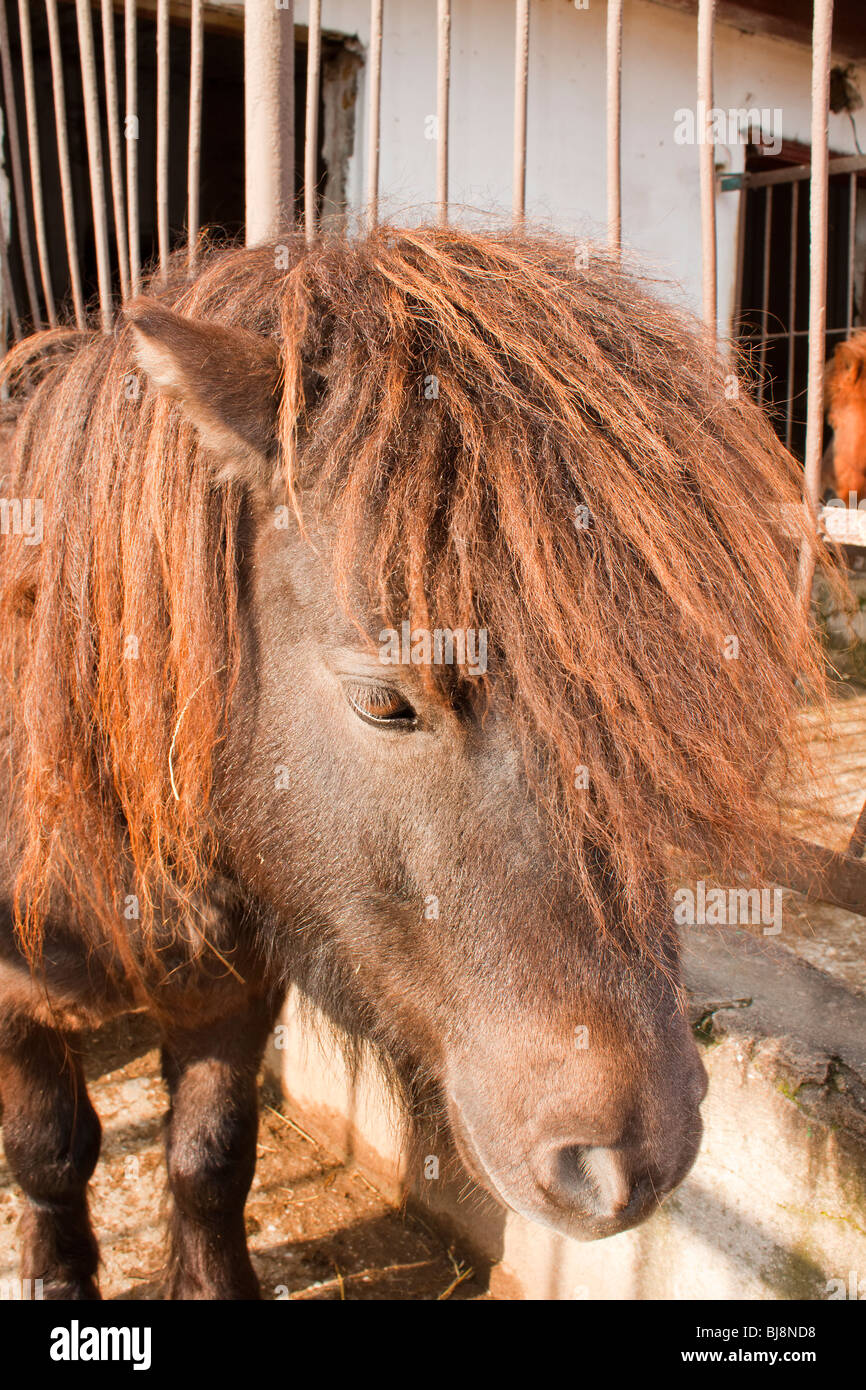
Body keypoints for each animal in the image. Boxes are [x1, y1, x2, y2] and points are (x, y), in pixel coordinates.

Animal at [0, 225, 827, 1299]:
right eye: (382, 701)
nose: (634, 1160)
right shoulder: (17, 1010)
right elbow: (49, 1153)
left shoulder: (236, 989)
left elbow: (210, 1156)